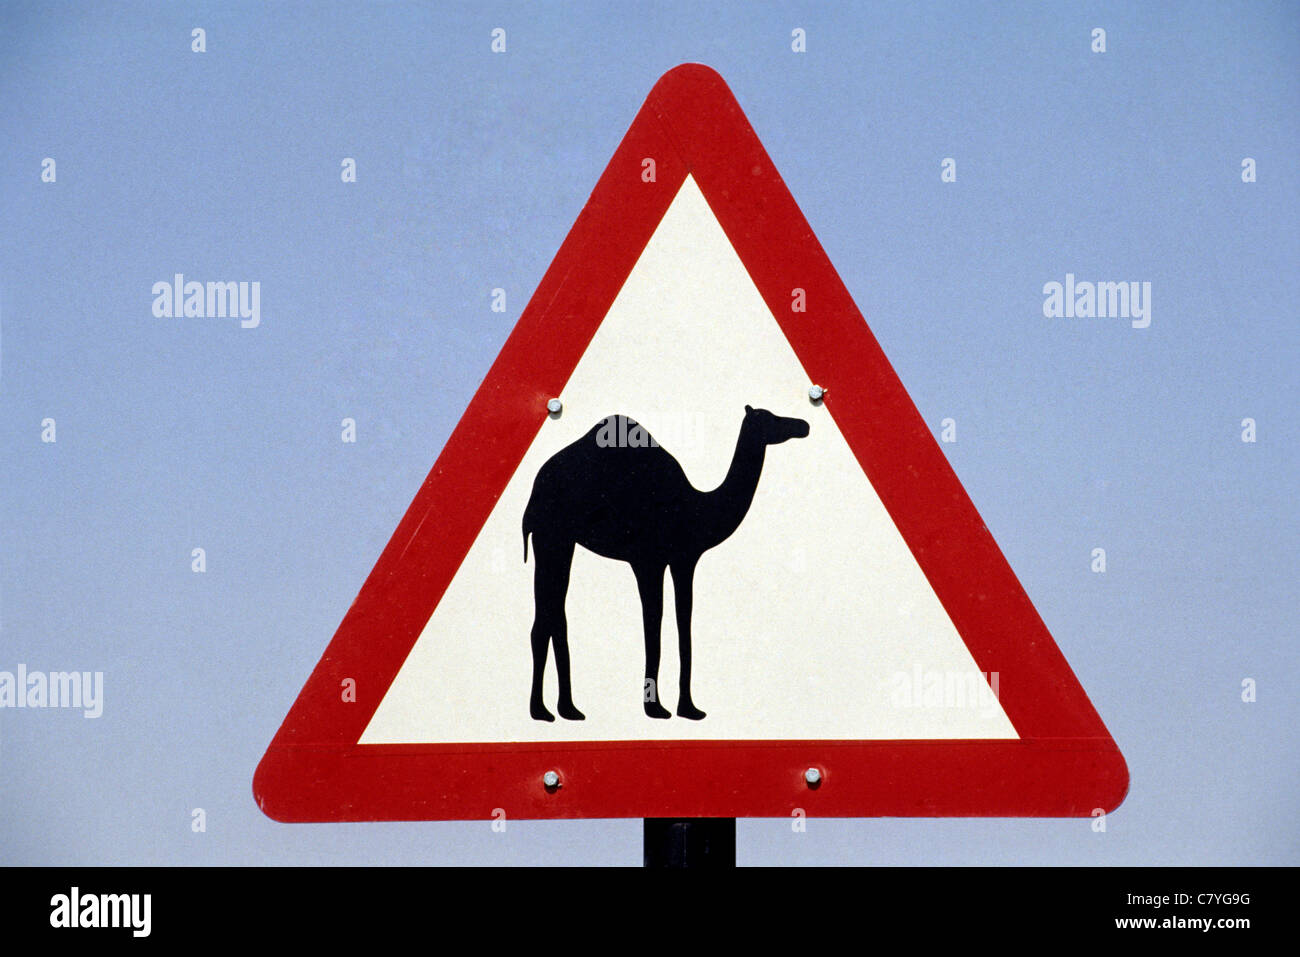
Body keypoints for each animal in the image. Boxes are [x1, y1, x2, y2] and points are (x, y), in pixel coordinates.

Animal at [522, 405, 810, 722]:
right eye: (770, 418)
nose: (803, 425)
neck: (696, 508)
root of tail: (535, 490)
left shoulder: (684, 559)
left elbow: (683, 619)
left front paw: (688, 707)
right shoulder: (649, 559)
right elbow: (655, 622)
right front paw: (656, 707)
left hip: (561, 541)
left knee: (553, 614)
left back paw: (567, 709)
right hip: (552, 534)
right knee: (547, 617)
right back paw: (541, 710)